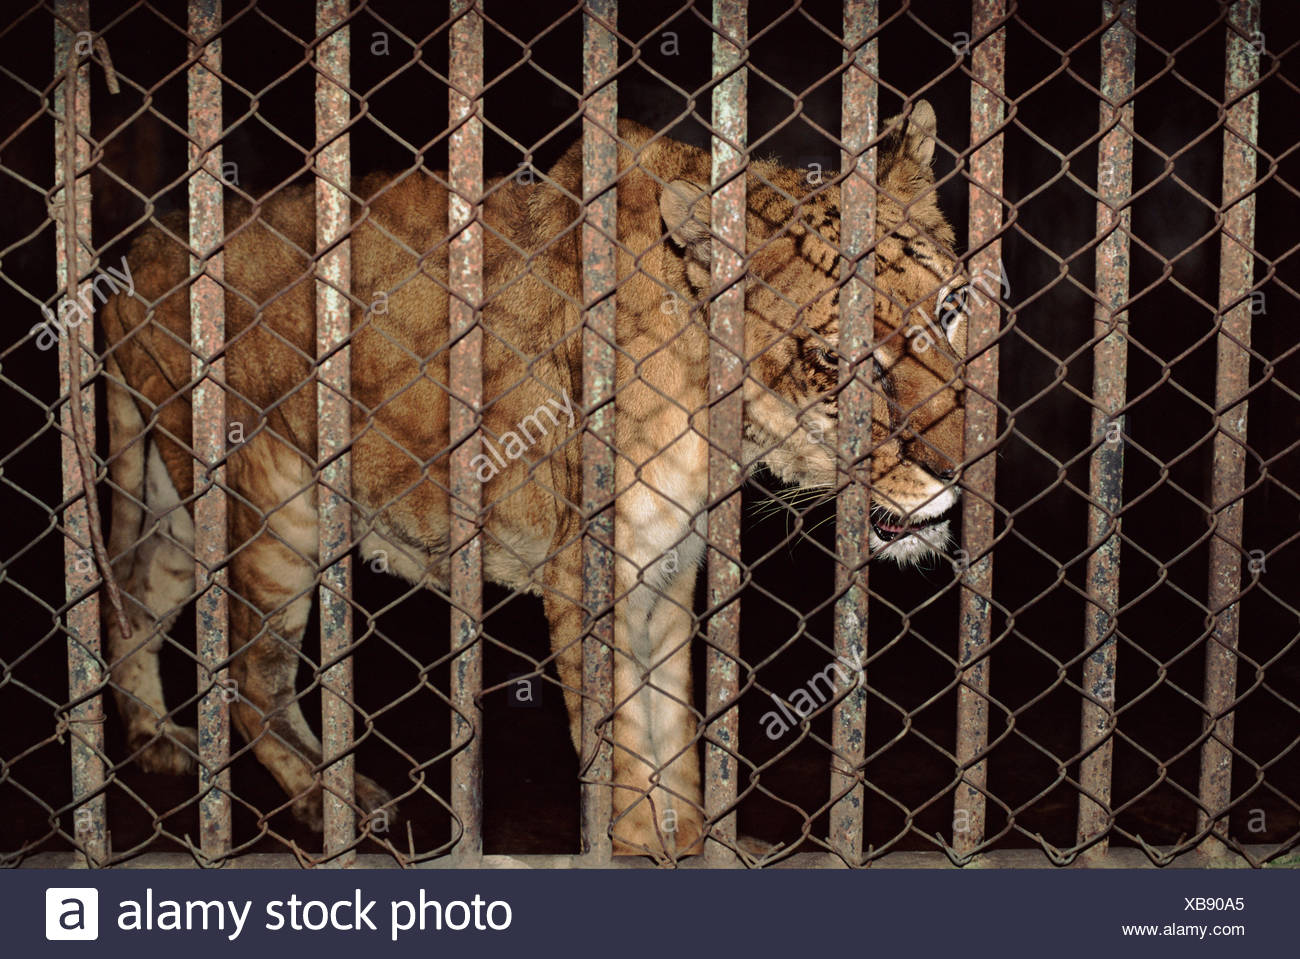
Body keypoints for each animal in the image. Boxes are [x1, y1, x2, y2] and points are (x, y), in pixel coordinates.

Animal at [98, 102, 965, 860]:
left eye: (952, 309)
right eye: (834, 357)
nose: (955, 468)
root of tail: (137, 255)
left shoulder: (669, 565)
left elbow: (674, 727)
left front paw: (694, 838)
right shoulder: (588, 568)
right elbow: (621, 736)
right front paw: (641, 845)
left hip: (185, 504)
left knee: (135, 591)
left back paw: (155, 740)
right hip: (277, 507)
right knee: (249, 673)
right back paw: (335, 801)